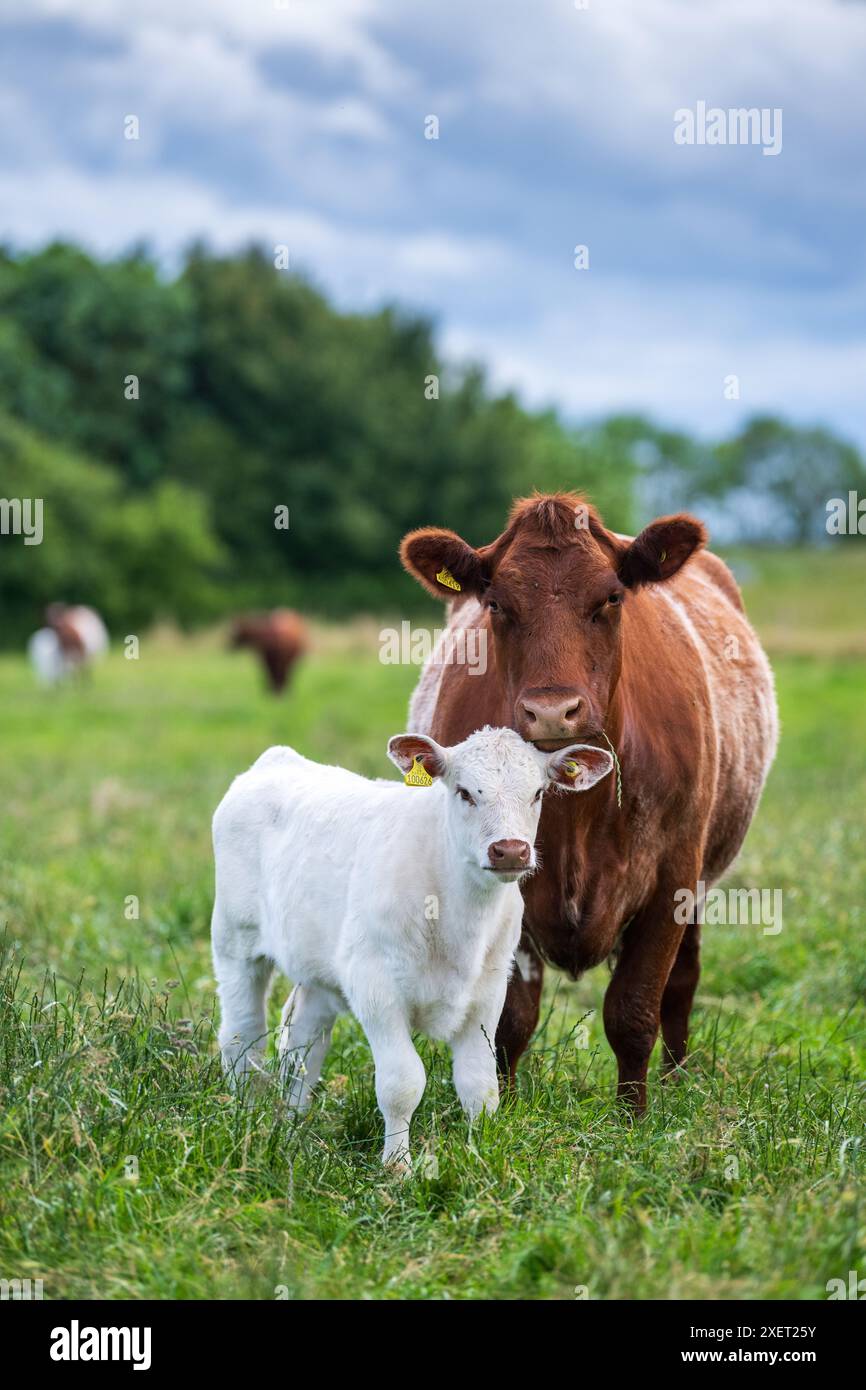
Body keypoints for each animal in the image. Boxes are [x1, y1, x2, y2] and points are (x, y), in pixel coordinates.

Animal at [398, 492, 778, 1111]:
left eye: (611, 597)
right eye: (497, 603)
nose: (553, 711)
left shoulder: (672, 878)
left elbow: (635, 1009)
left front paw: (633, 1117)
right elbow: (510, 1018)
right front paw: (503, 1107)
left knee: (683, 983)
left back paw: (676, 1080)